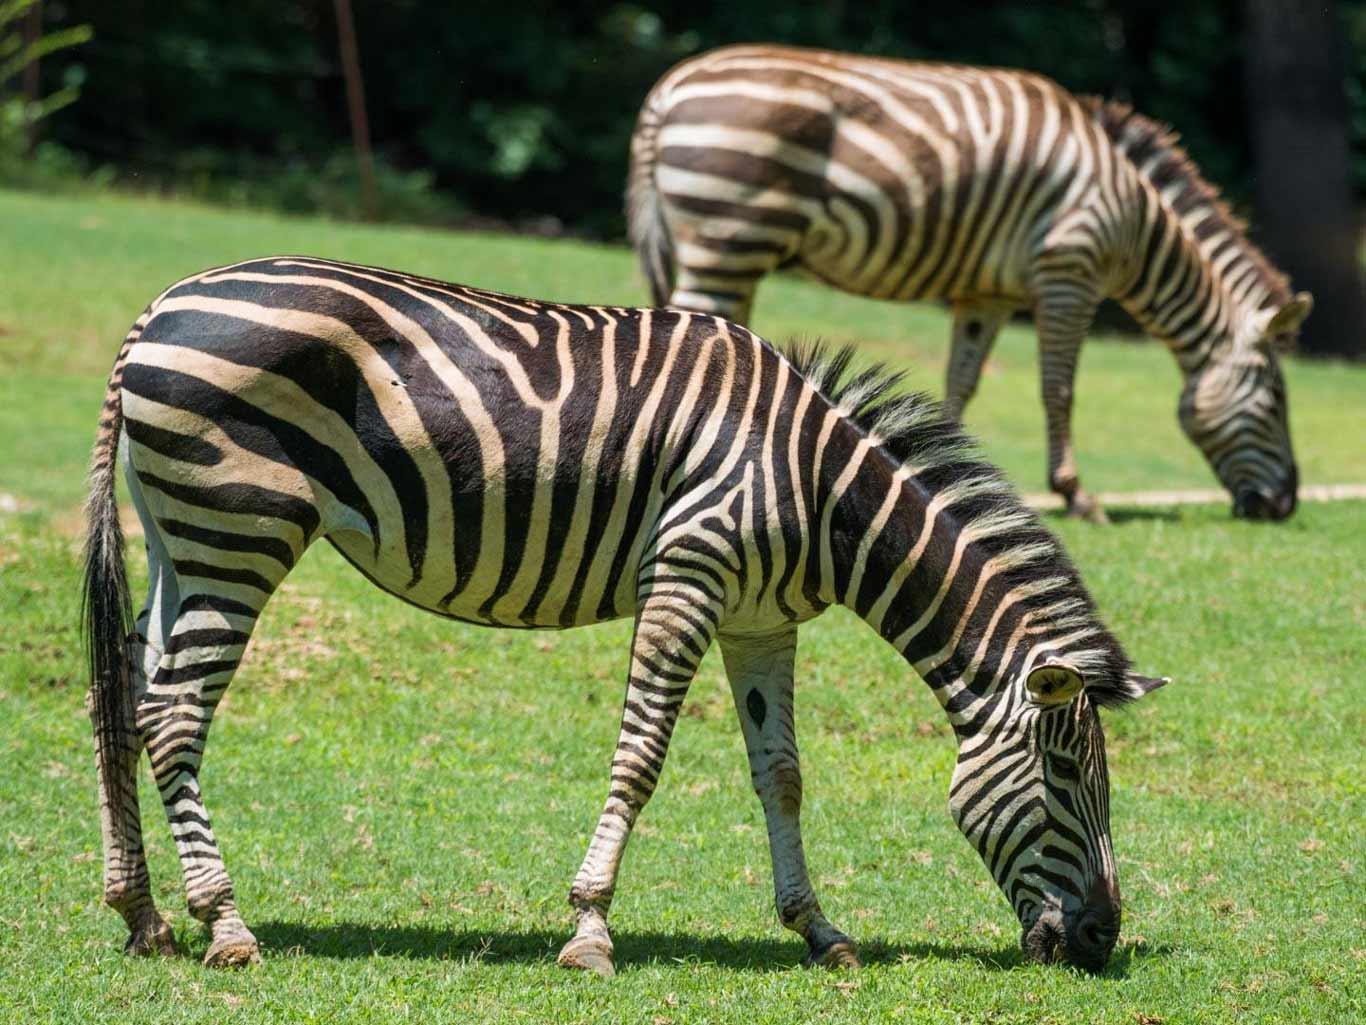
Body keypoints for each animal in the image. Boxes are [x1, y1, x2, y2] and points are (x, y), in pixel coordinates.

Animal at [84, 256, 1167, 975]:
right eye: (1067, 776)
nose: (1104, 940)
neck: (822, 492)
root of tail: (154, 309)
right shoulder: (688, 571)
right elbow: (641, 755)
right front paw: (590, 928)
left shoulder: (760, 618)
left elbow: (781, 774)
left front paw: (819, 928)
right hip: (240, 529)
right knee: (175, 716)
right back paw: (225, 923)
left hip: (181, 539)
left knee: (128, 700)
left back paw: (142, 914)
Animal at [628, 44, 1312, 522]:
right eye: (1276, 401)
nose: (1286, 505)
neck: (1135, 220)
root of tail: (668, 89)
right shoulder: (1070, 275)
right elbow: (1058, 390)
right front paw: (1076, 496)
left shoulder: (989, 294)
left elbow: (962, 379)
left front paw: (939, 471)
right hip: (728, 235)